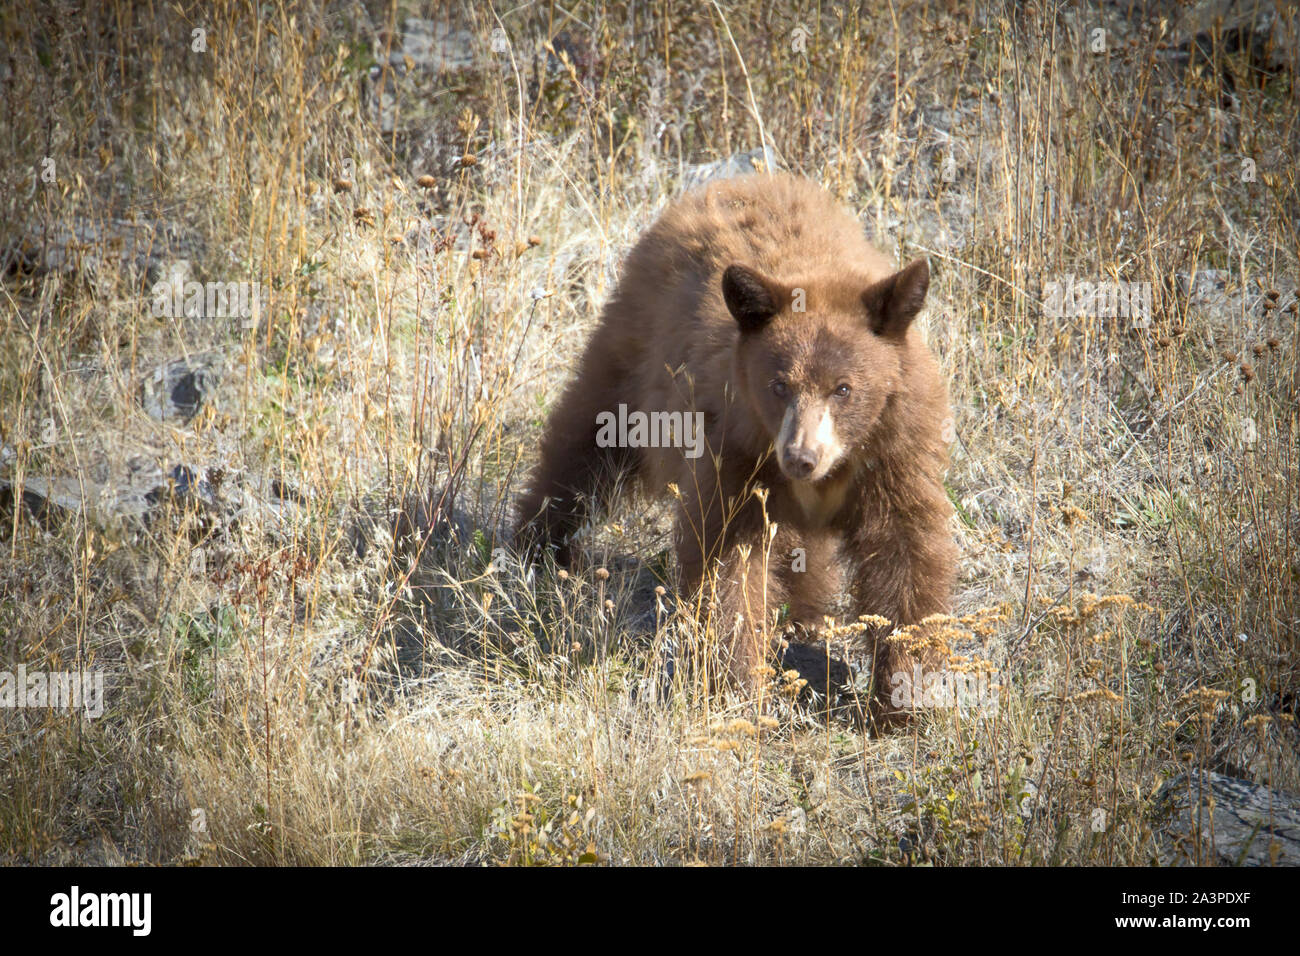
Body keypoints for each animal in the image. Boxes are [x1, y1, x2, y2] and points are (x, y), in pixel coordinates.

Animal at [514, 172, 957, 724]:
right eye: (778, 385)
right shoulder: (737, 450)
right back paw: (538, 541)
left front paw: (902, 698)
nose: (800, 458)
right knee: (587, 435)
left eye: (844, 389)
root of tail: (731, 180)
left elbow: (904, 552)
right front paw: (739, 686)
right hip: (634, 350)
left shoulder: (894, 453)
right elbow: (728, 562)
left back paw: (805, 616)